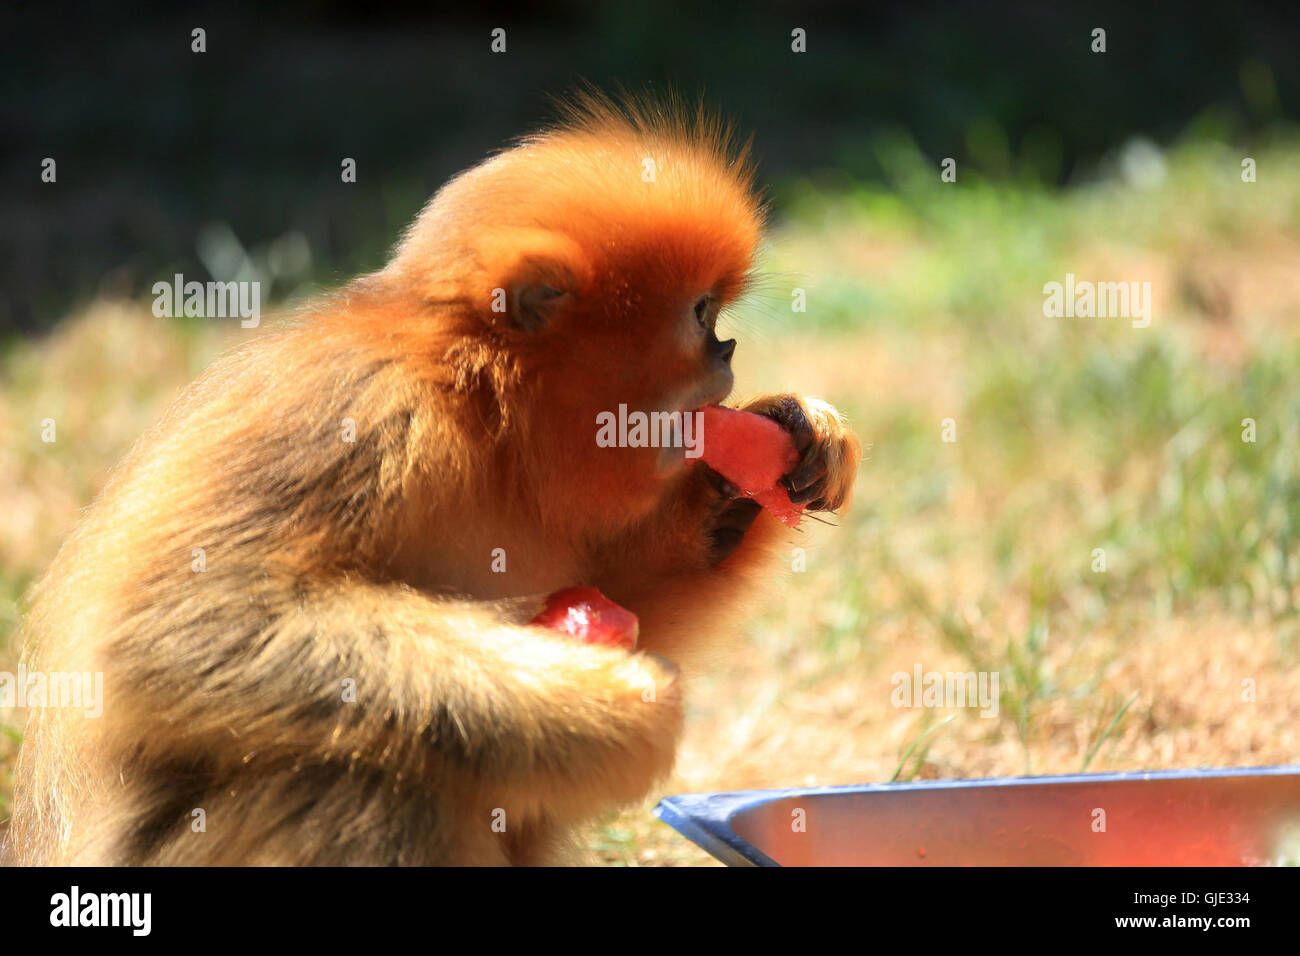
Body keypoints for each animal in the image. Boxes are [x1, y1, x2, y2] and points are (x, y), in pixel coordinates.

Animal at [7, 93, 861, 866]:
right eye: (701, 314)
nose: (729, 351)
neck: (478, 410)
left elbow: (623, 597)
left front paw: (777, 451)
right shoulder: (365, 412)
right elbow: (176, 630)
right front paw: (609, 705)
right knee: (367, 779)